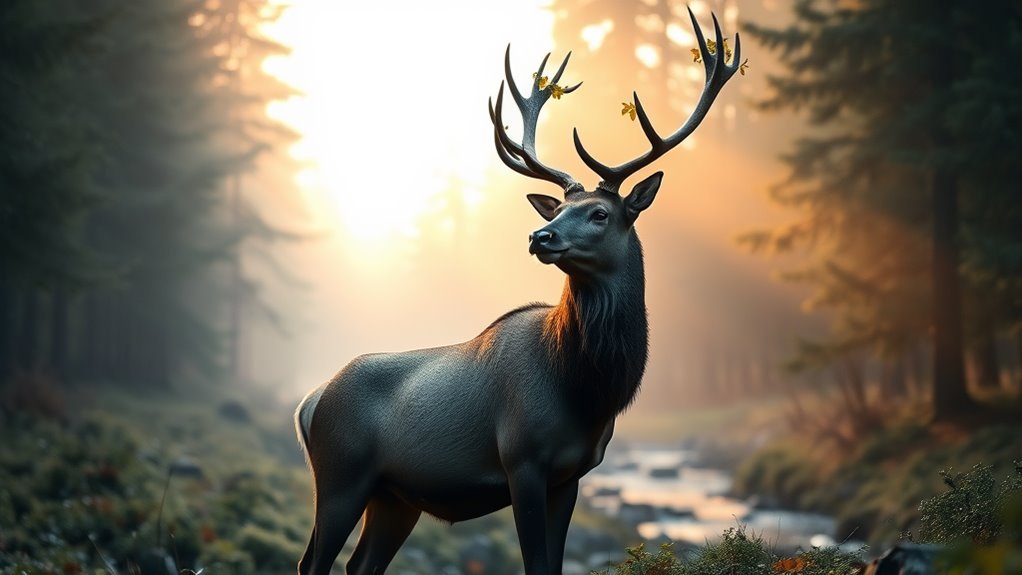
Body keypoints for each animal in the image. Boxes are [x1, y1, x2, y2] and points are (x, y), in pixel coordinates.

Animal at [295, 10, 740, 575]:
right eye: (558, 210)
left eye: (600, 213)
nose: (539, 236)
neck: (587, 388)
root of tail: (309, 402)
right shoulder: (522, 459)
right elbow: (534, 562)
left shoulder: (571, 474)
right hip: (340, 476)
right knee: (313, 562)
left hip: (393, 495)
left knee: (360, 564)